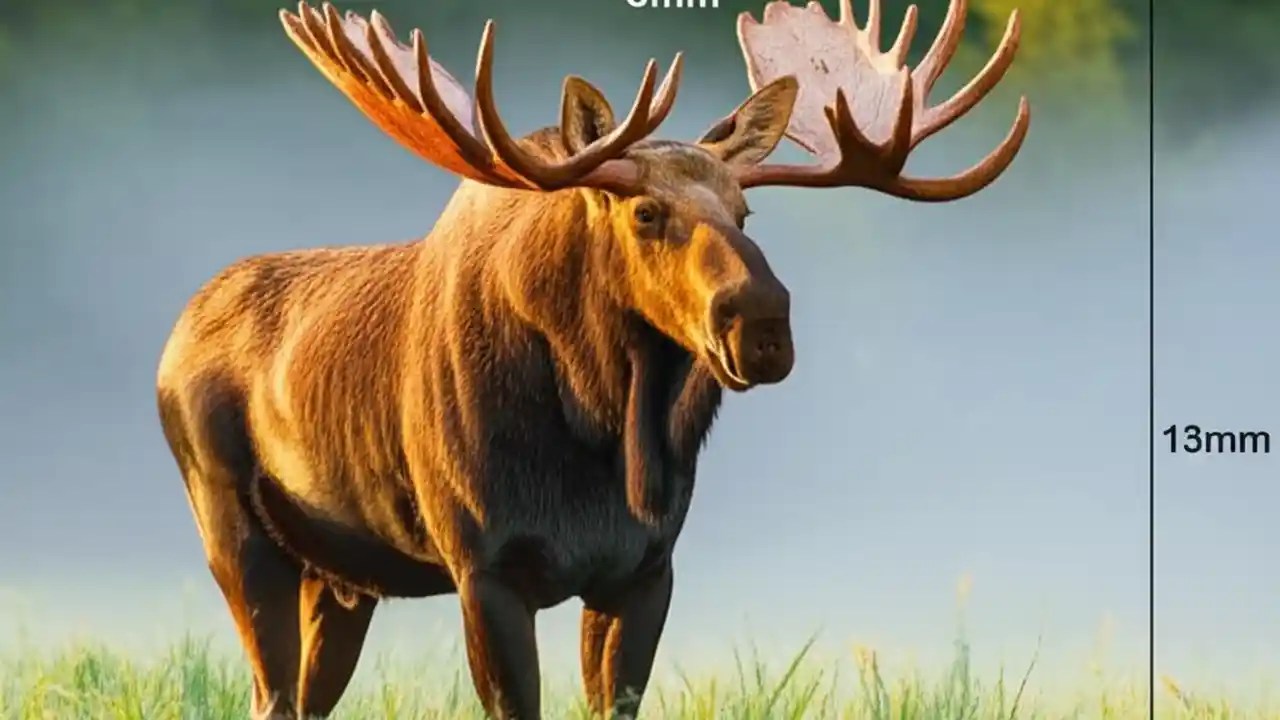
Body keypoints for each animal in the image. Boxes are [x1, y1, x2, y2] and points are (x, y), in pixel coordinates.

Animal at [154, 0, 1028, 717]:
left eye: (745, 209)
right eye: (645, 212)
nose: (763, 323)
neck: (609, 442)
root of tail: (177, 333)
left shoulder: (645, 570)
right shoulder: (485, 569)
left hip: (340, 579)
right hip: (235, 536)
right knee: (269, 693)